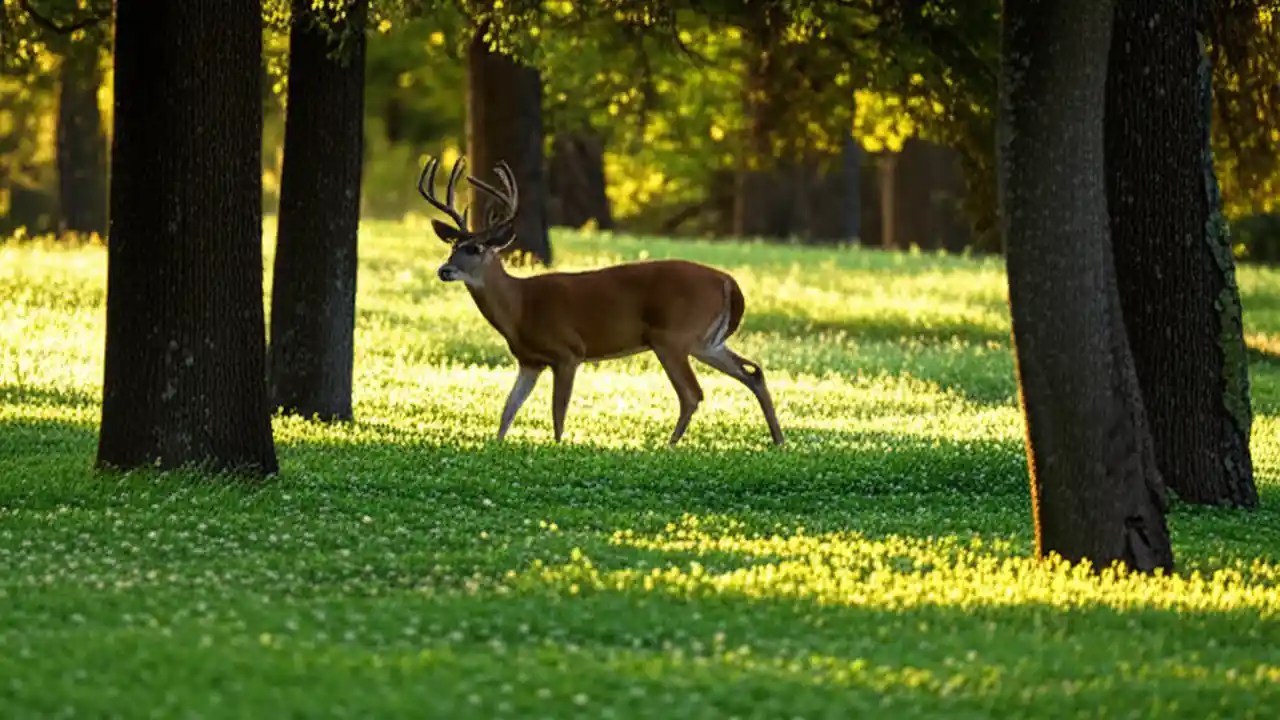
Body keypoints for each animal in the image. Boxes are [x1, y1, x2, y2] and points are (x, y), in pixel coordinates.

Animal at [418, 155, 784, 447]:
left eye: (475, 248)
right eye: (452, 246)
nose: (444, 270)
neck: (520, 307)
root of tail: (728, 282)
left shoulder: (568, 352)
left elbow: (558, 412)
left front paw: (558, 446)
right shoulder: (529, 360)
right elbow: (508, 410)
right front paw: (496, 445)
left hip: (672, 337)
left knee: (692, 393)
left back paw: (670, 445)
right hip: (706, 342)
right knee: (753, 373)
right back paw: (778, 440)